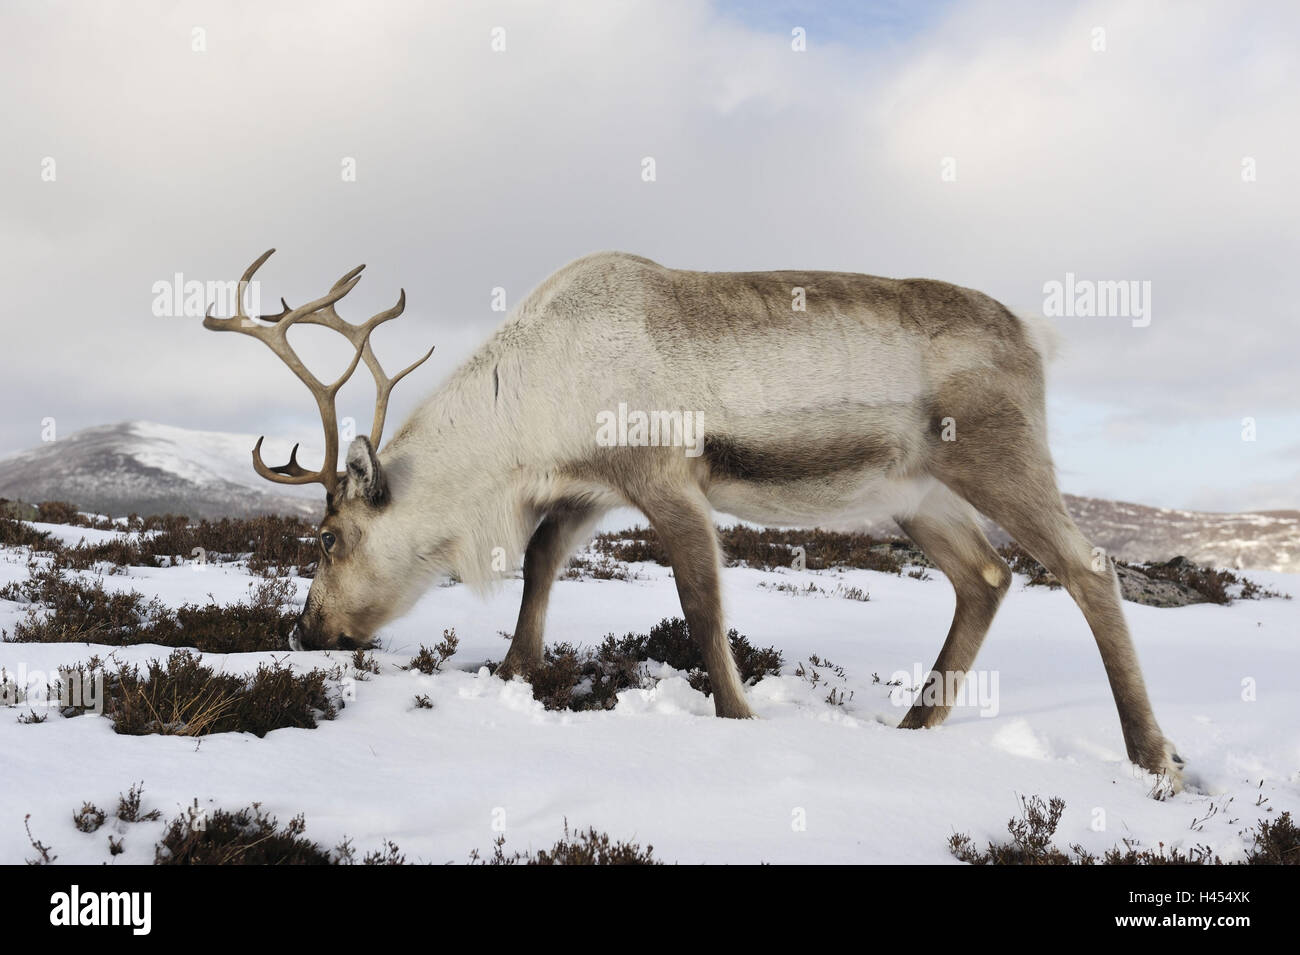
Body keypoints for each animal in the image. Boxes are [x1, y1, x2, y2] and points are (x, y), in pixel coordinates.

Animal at [203, 249, 1185, 789]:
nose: (304, 630)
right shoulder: (589, 489)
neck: (526, 419)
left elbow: (702, 603)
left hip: (996, 453)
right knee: (987, 573)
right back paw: (913, 728)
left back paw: (1153, 755)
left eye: (329, 536)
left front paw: (738, 719)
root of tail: (1034, 332)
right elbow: (540, 562)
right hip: (914, 496)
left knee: (1088, 566)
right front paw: (514, 673)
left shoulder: (664, 477)